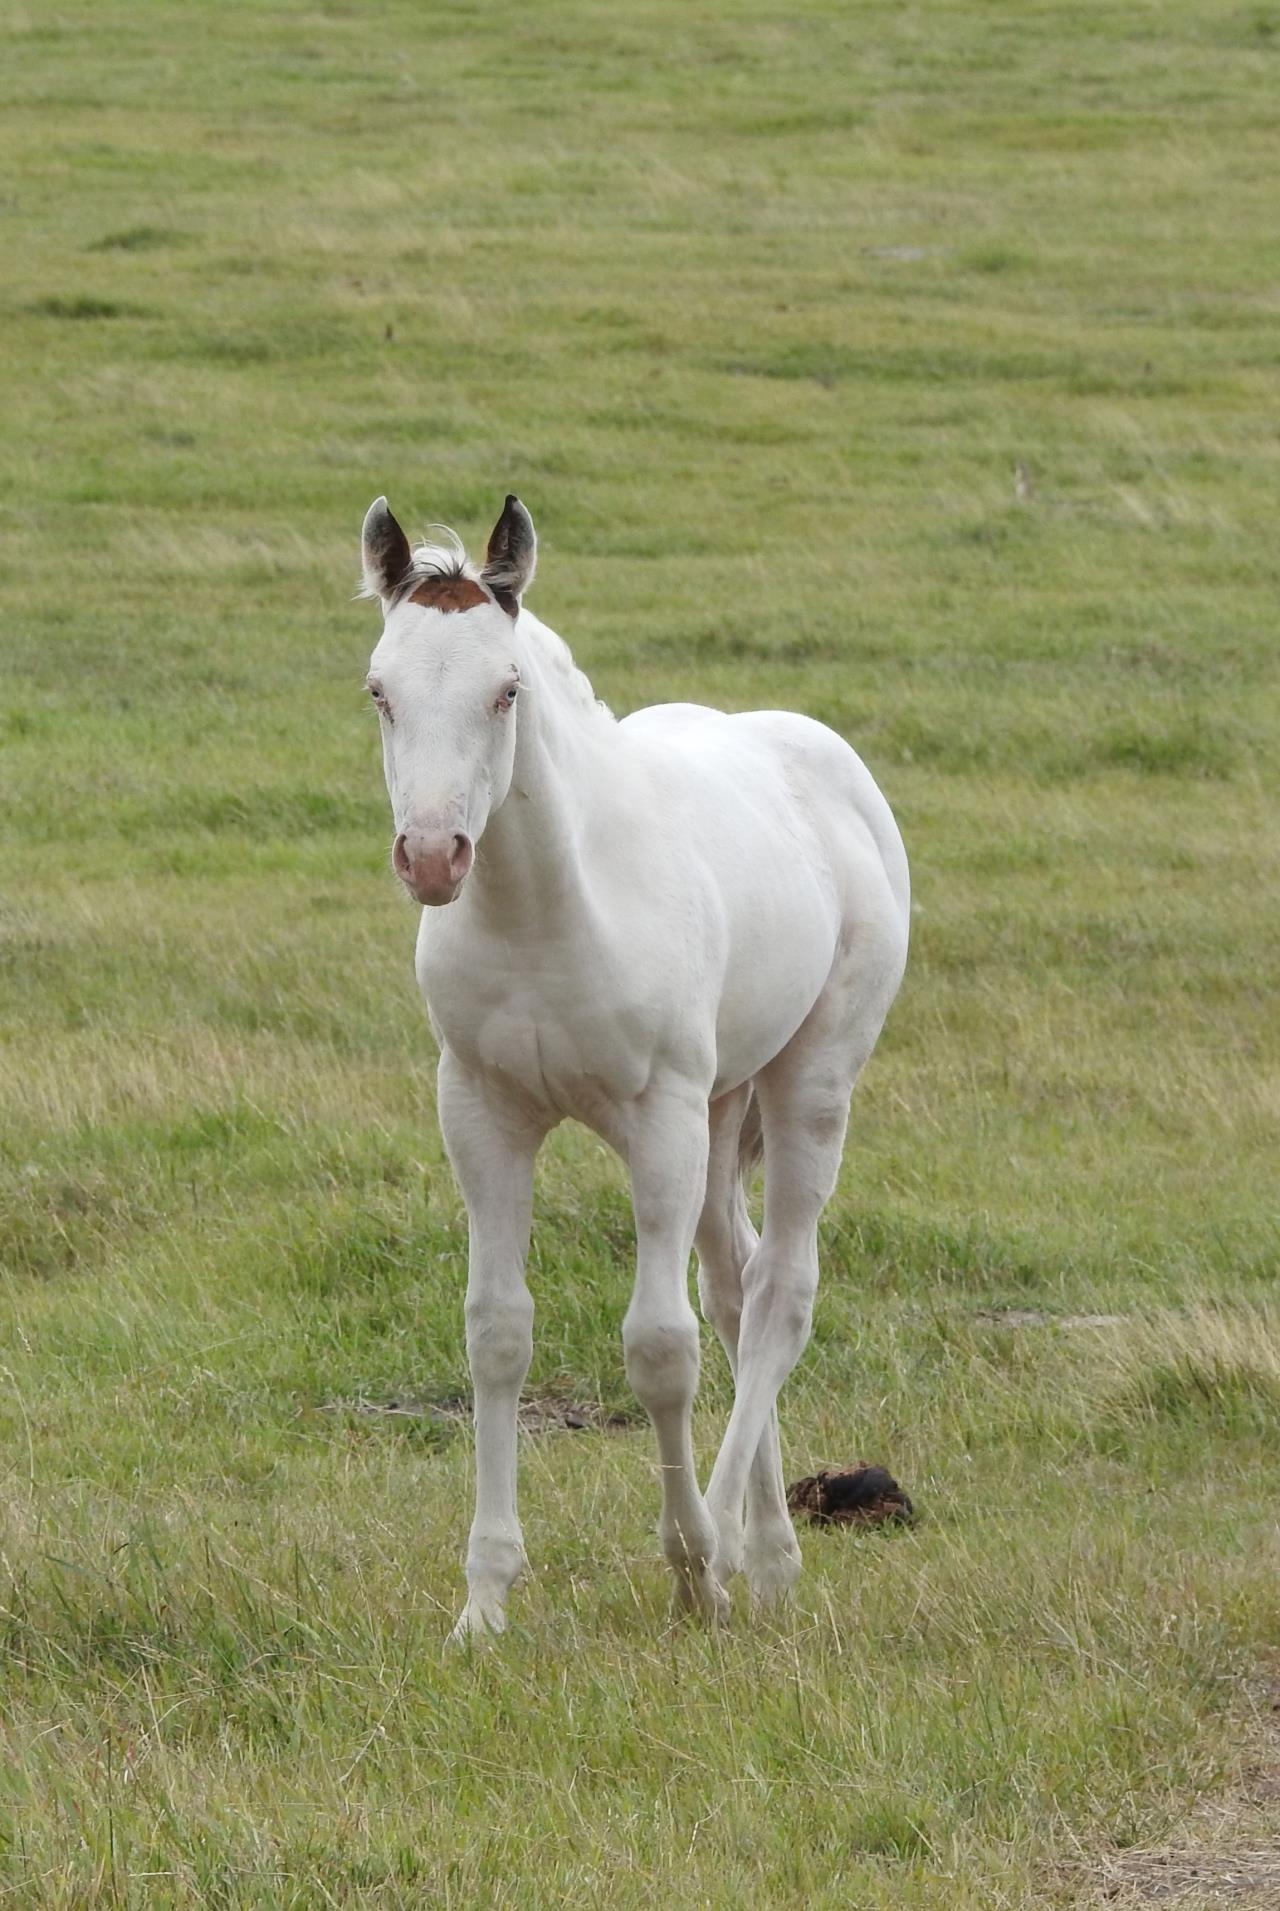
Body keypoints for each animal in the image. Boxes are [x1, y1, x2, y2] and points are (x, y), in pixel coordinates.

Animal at [358, 493, 910, 1641]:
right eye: (380, 689)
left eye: (506, 688)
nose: (431, 857)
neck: (546, 914)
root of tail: (829, 758)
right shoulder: (480, 1112)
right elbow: (496, 1332)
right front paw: (484, 1600)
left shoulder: (657, 1115)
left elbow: (660, 1345)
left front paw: (692, 1566)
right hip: (722, 1105)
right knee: (737, 1288)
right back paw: (775, 1555)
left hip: (807, 1082)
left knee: (779, 1295)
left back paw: (735, 1546)